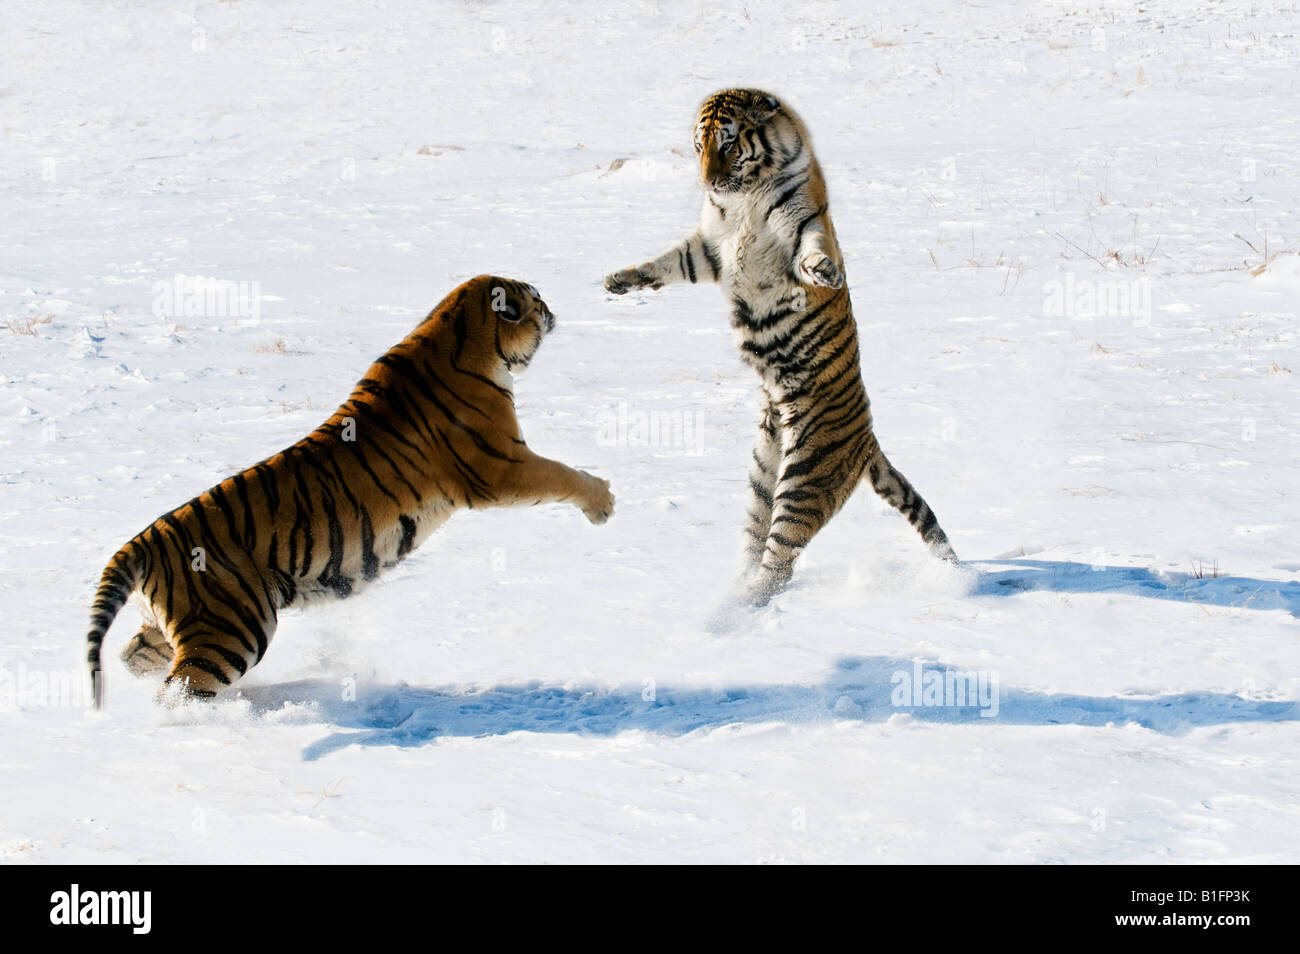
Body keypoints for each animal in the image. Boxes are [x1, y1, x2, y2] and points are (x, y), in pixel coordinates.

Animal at [85, 275, 614, 706]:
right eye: (536, 298)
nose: (552, 307)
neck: (461, 332)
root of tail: (142, 542)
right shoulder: (502, 466)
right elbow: (561, 475)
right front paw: (604, 502)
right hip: (231, 629)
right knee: (179, 694)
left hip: (180, 626)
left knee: (134, 657)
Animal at [603, 88, 956, 605]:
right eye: (699, 147)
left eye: (728, 144)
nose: (708, 181)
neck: (743, 198)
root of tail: (867, 440)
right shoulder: (709, 246)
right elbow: (668, 260)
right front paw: (621, 279)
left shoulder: (804, 221)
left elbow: (812, 250)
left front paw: (824, 273)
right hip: (762, 474)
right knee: (758, 536)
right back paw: (733, 589)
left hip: (807, 472)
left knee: (782, 556)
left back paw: (743, 603)